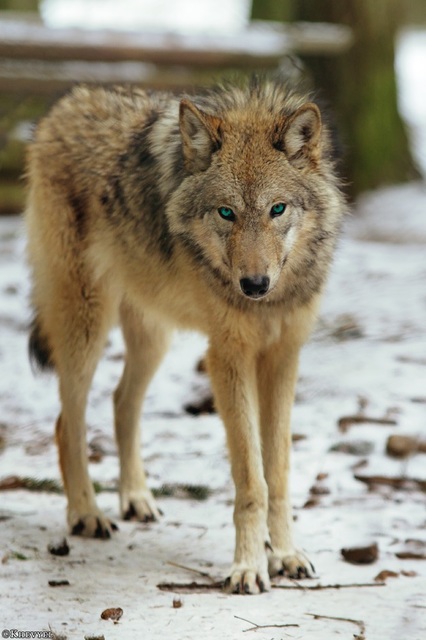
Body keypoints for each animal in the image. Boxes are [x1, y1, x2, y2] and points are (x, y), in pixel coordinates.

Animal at [25, 79, 346, 596]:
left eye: (277, 210)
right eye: (226, 213)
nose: (254, 285)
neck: (269, 303)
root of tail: (66, 103)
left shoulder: (283, 354)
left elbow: (277, 471)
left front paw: (285, 556)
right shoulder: (228, 356)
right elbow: (251, 478)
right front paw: (248, 567)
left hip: (153, 337)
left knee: (121, 402)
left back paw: (136, 499)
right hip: (85, 327)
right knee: (66, 422)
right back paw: (86, 513)